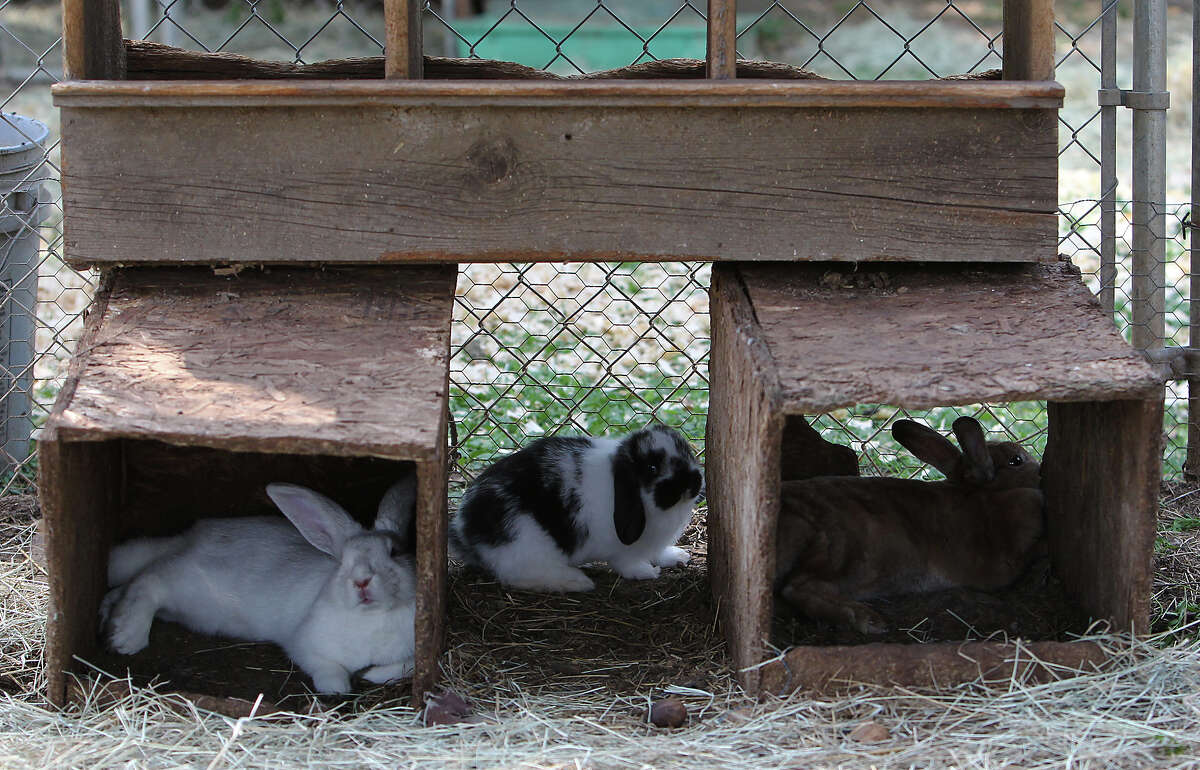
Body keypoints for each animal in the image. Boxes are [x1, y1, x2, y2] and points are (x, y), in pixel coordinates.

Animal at [99, 475, 418, 694]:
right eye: (342, 562)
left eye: (395, 552)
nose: (362, 580)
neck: (372, 620)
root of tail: (188, 539)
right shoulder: (305, 645)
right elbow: (326, 668)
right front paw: (337, 688)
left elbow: (404, 667)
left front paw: (371, 675)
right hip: (190, 585)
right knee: (150, 581)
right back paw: (127, 637)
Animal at [450, 423, 704, 592]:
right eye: (652, 468)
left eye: (689, 453)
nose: (692, 481)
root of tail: (463, 527)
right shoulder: (622, 551)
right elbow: (626, 563)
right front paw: (647, 572)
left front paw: (677, 557)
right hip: (523, 539)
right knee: (520, 574)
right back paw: (577, 581)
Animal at [773, 416, 1044, 634]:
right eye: (1016, 460)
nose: (1040, 470)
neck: (980, 494)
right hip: (840, 551)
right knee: (798, 588)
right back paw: (867, 620)